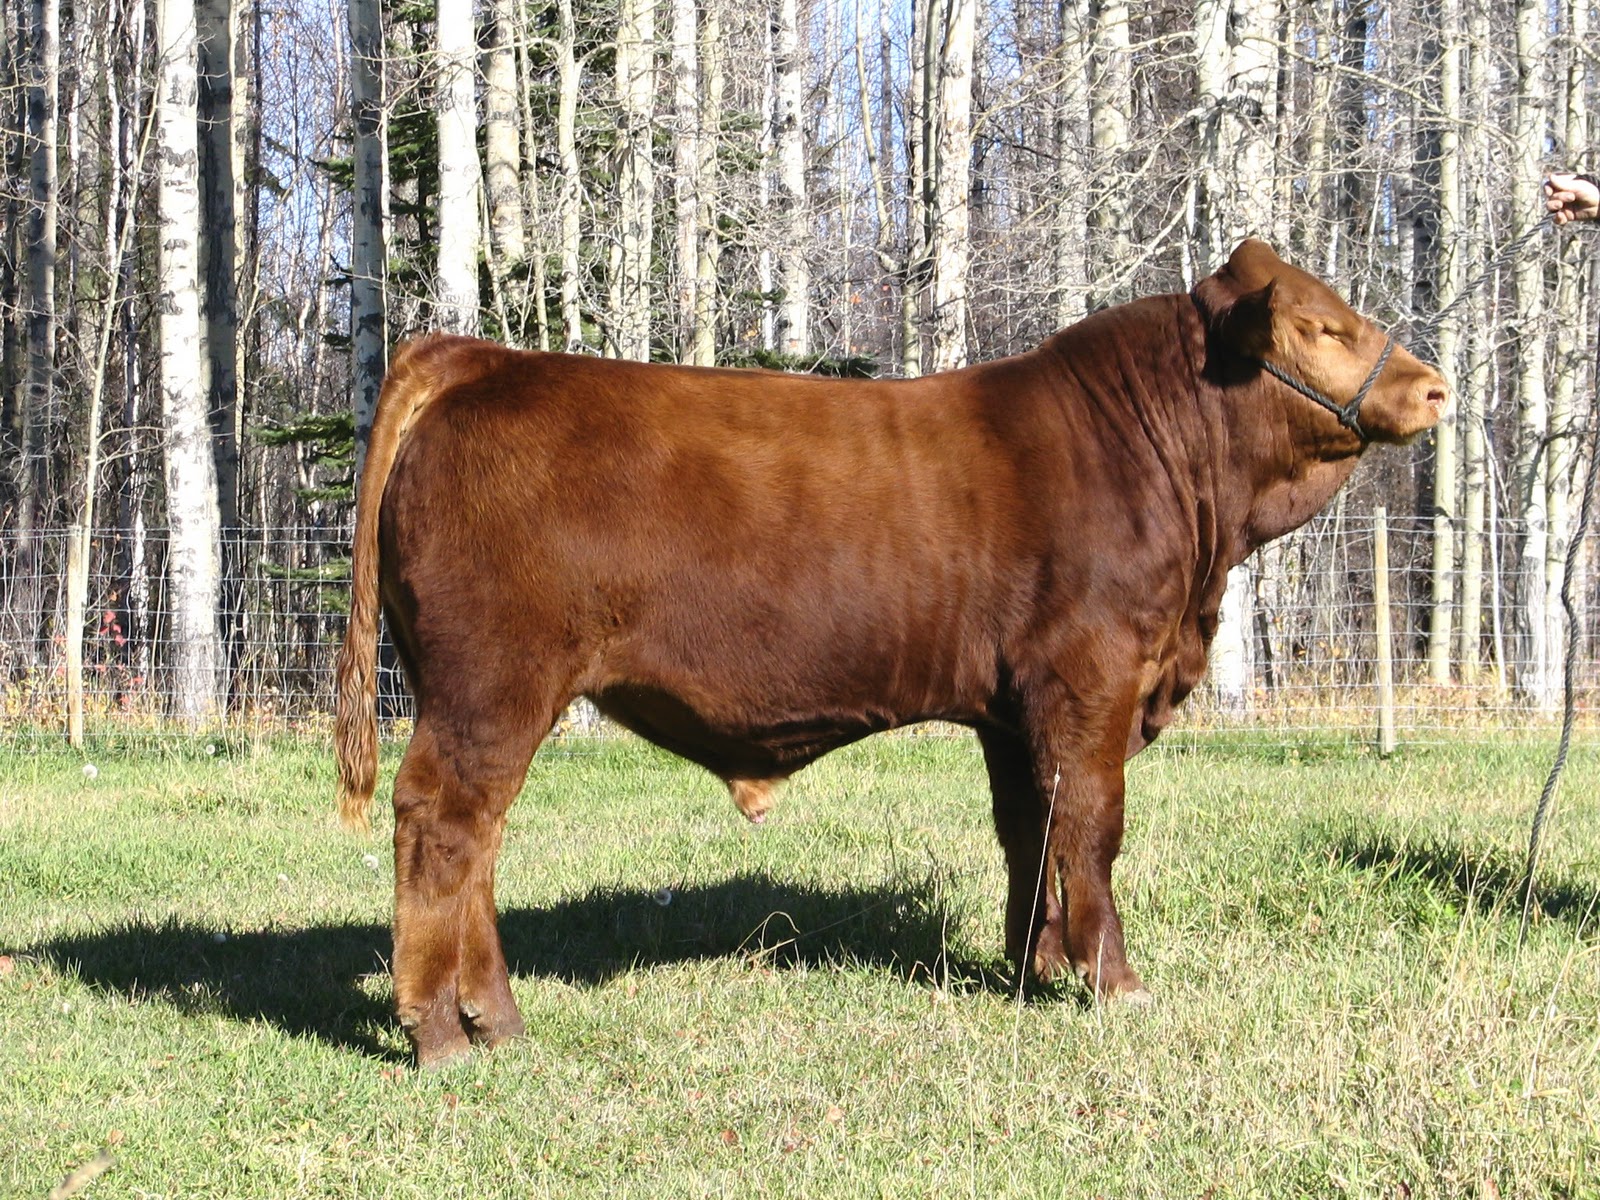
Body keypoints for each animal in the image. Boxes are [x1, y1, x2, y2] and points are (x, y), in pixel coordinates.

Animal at [335, 239, 1447, 1066]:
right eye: (1325, 328)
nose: (1433, 388)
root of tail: (485, 358)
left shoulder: (1013, 706)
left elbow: (1030, 830)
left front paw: (1033, 968)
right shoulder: (1088, 677)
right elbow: (1091, 829)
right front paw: (1113, 983)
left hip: (471, 689)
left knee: (478, 840)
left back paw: (498, 1022)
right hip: (491, 684)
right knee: (442, 823)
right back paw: (441, 1034)